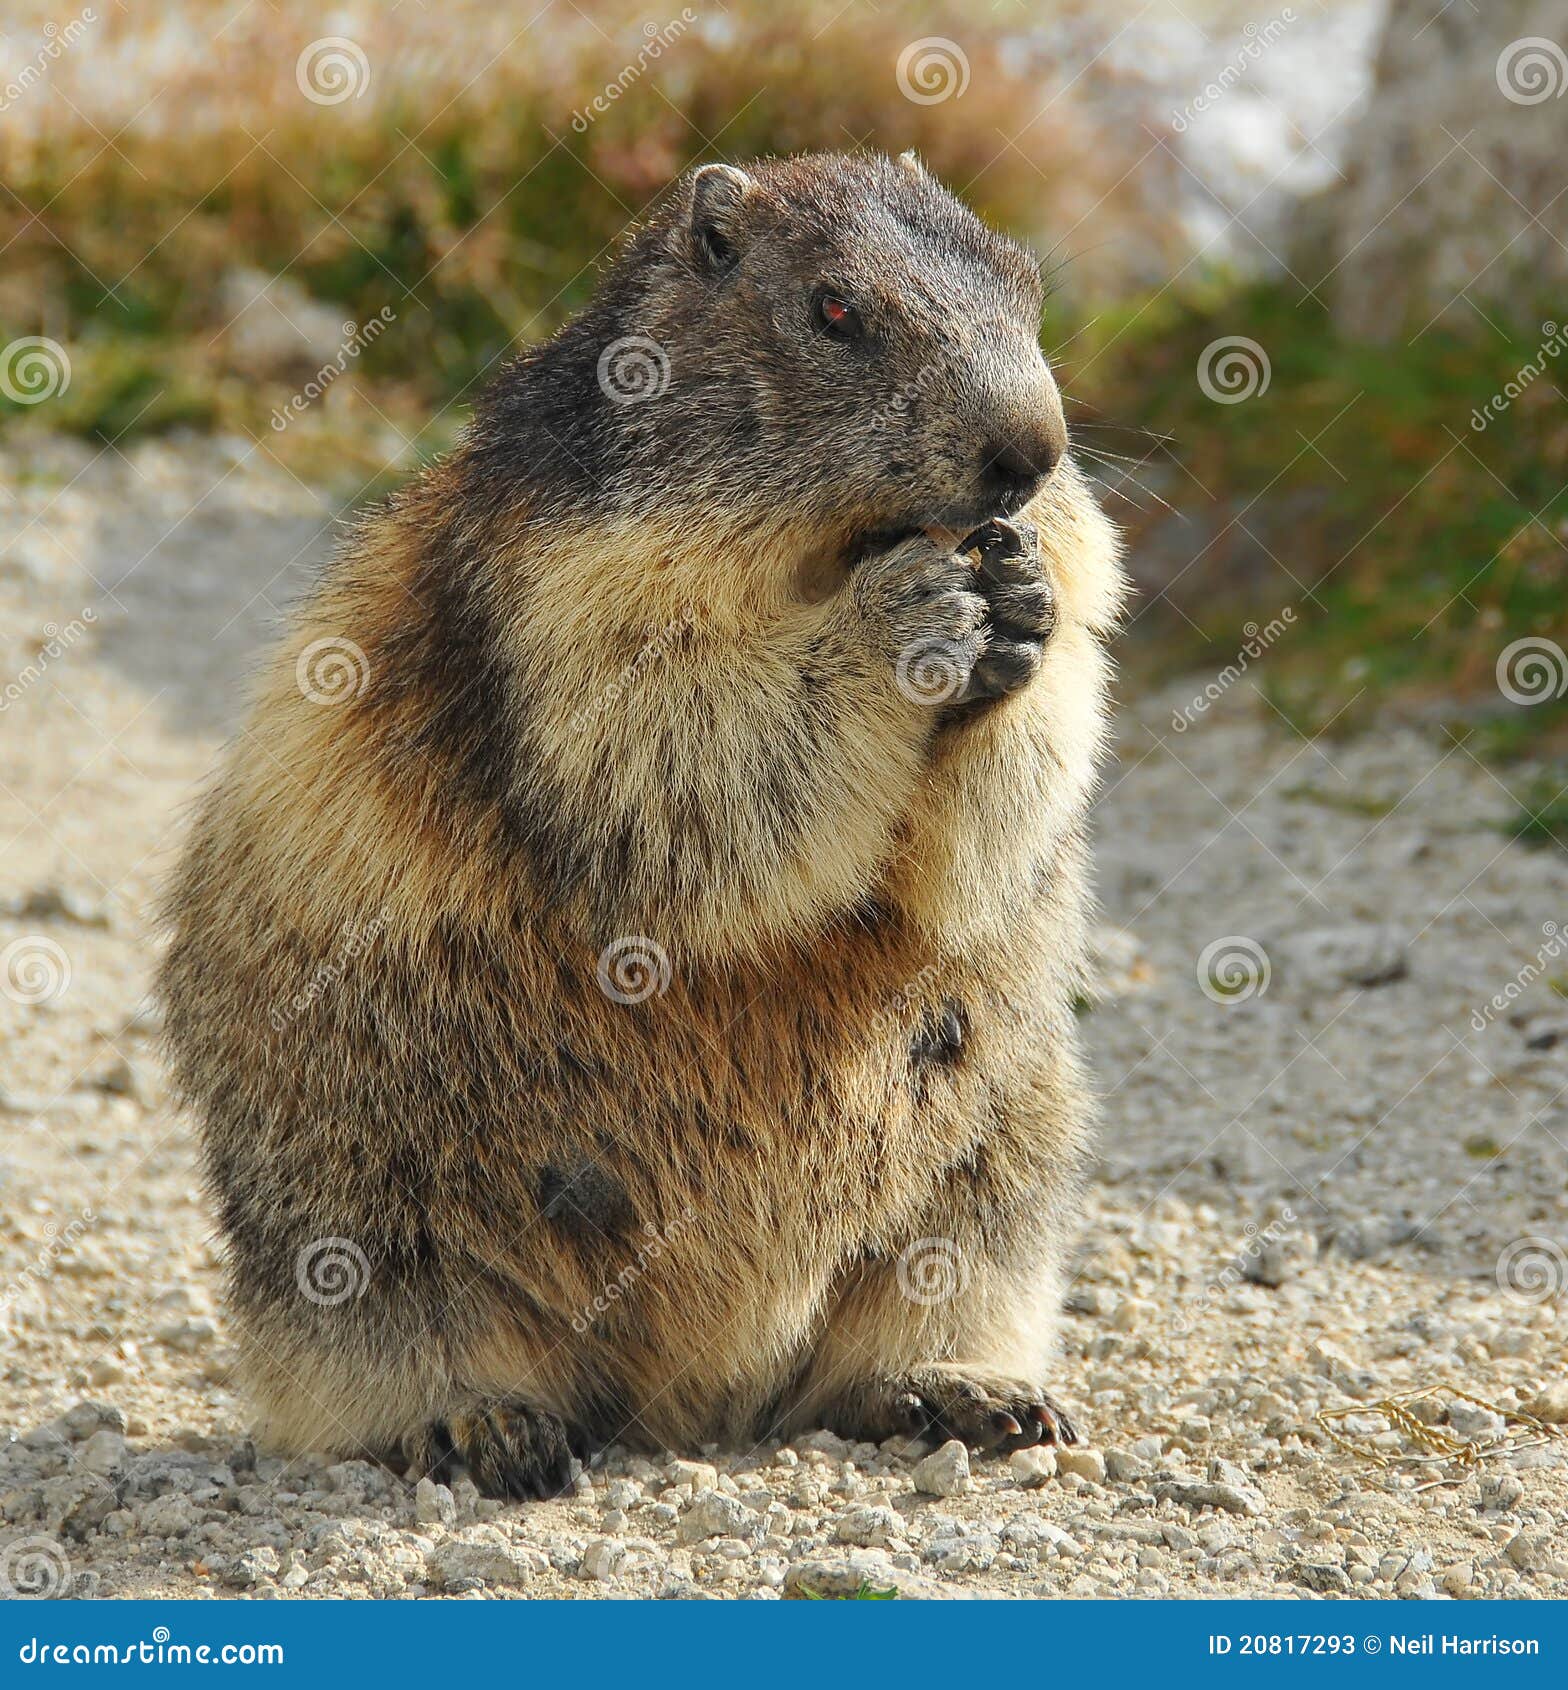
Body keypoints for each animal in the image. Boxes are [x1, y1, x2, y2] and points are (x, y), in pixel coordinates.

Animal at [158, 151, 1125, 1498]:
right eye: (834, 310)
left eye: (1028, 283)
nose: (1030, 449)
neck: (836, 541)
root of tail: (694, 1399)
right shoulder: (575, 570)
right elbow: (668, 720)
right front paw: (903, 617)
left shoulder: (1085, 554)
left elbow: (1016, 777)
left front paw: (1020, 601)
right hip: (350, 1190)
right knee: (382, 1328)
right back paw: (478, 1421)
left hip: (1002, 1153)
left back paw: (962, 1388)